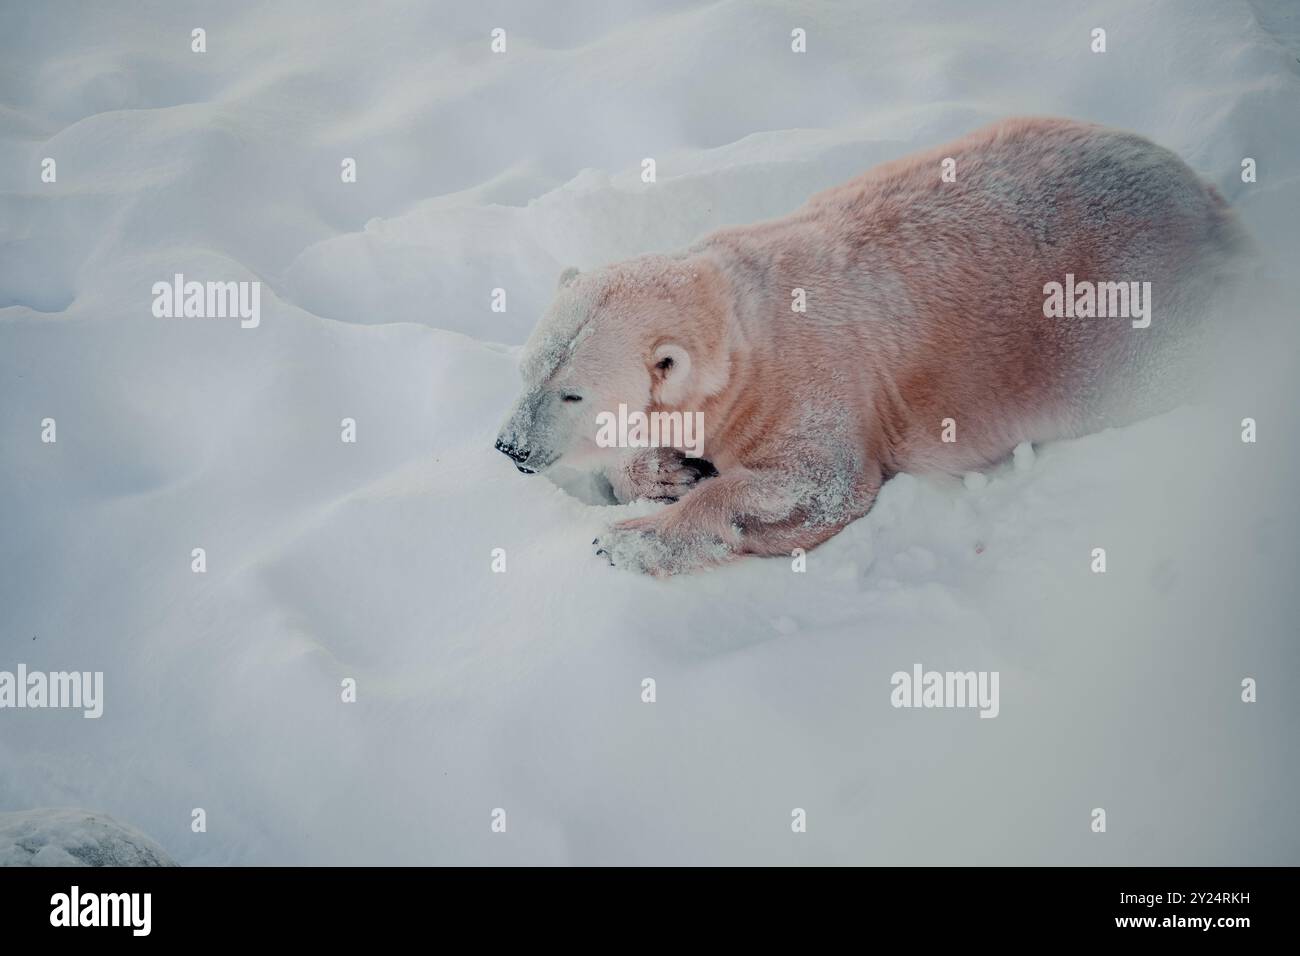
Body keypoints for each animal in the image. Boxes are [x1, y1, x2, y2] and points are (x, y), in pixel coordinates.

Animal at [495, 117, 1253, 575]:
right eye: (526, 370)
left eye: (573, 392)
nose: (510, 447)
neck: (740, 327)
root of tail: (1203, 197)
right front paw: (665, 471)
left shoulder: (815, 386)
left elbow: (818, 483)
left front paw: (625, 539)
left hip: (1126, 321)